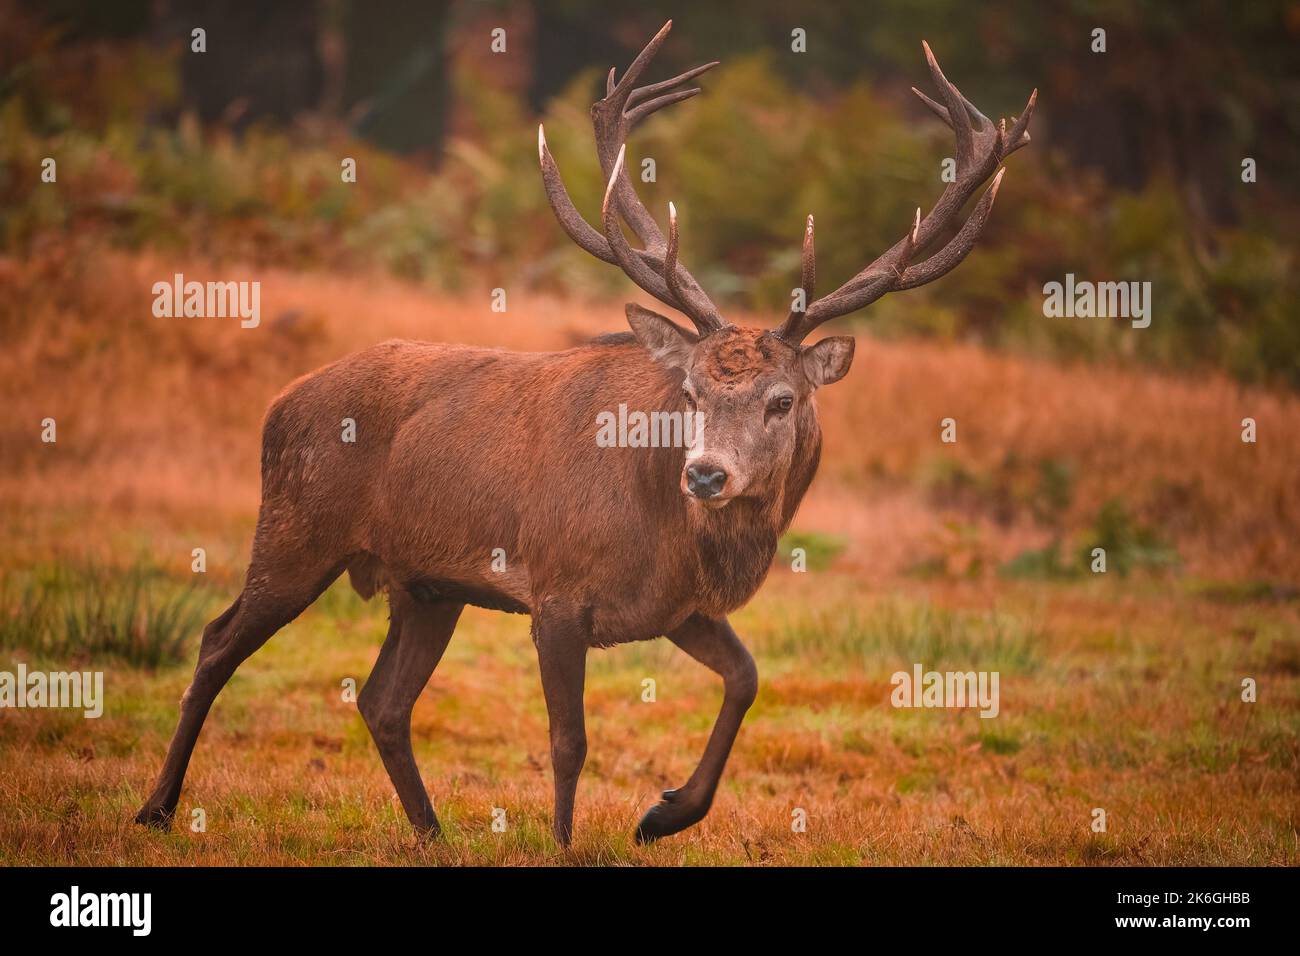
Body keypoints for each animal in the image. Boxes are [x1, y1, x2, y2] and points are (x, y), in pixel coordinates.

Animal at [134, 20, 1034, 847]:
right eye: (693, 389)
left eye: (781, 400)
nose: (706, 476)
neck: (671, 532)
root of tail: (279, 403)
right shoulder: (558, 592)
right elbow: (569, 739)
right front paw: (566, 842)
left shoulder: (676, 607)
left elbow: (746, 677)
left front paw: (665, 814)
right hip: (297, 529)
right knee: (217, 642)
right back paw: (157, 808)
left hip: (425, 586)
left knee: (383, 699)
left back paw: (432, 832)